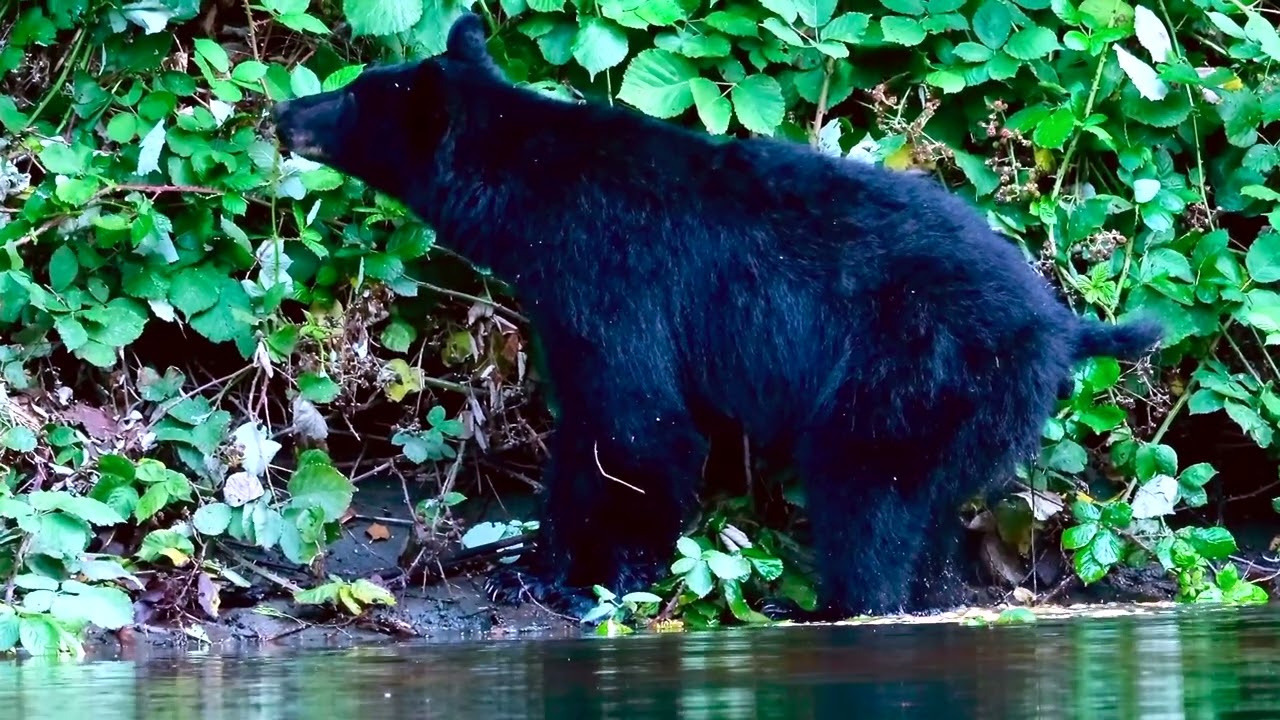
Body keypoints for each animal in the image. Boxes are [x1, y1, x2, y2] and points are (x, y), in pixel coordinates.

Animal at [272, 13, 1162, 621]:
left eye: (353, 96)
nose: (282, 113)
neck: (532, 194)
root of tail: (1063, 327)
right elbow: (591, 428)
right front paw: (533, 565)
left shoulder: (610, 278)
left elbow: (635, 424)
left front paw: (587, 575)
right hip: (968, 416)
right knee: (929, 518)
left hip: (911, 378)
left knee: (864, 496)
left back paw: (821, 604)